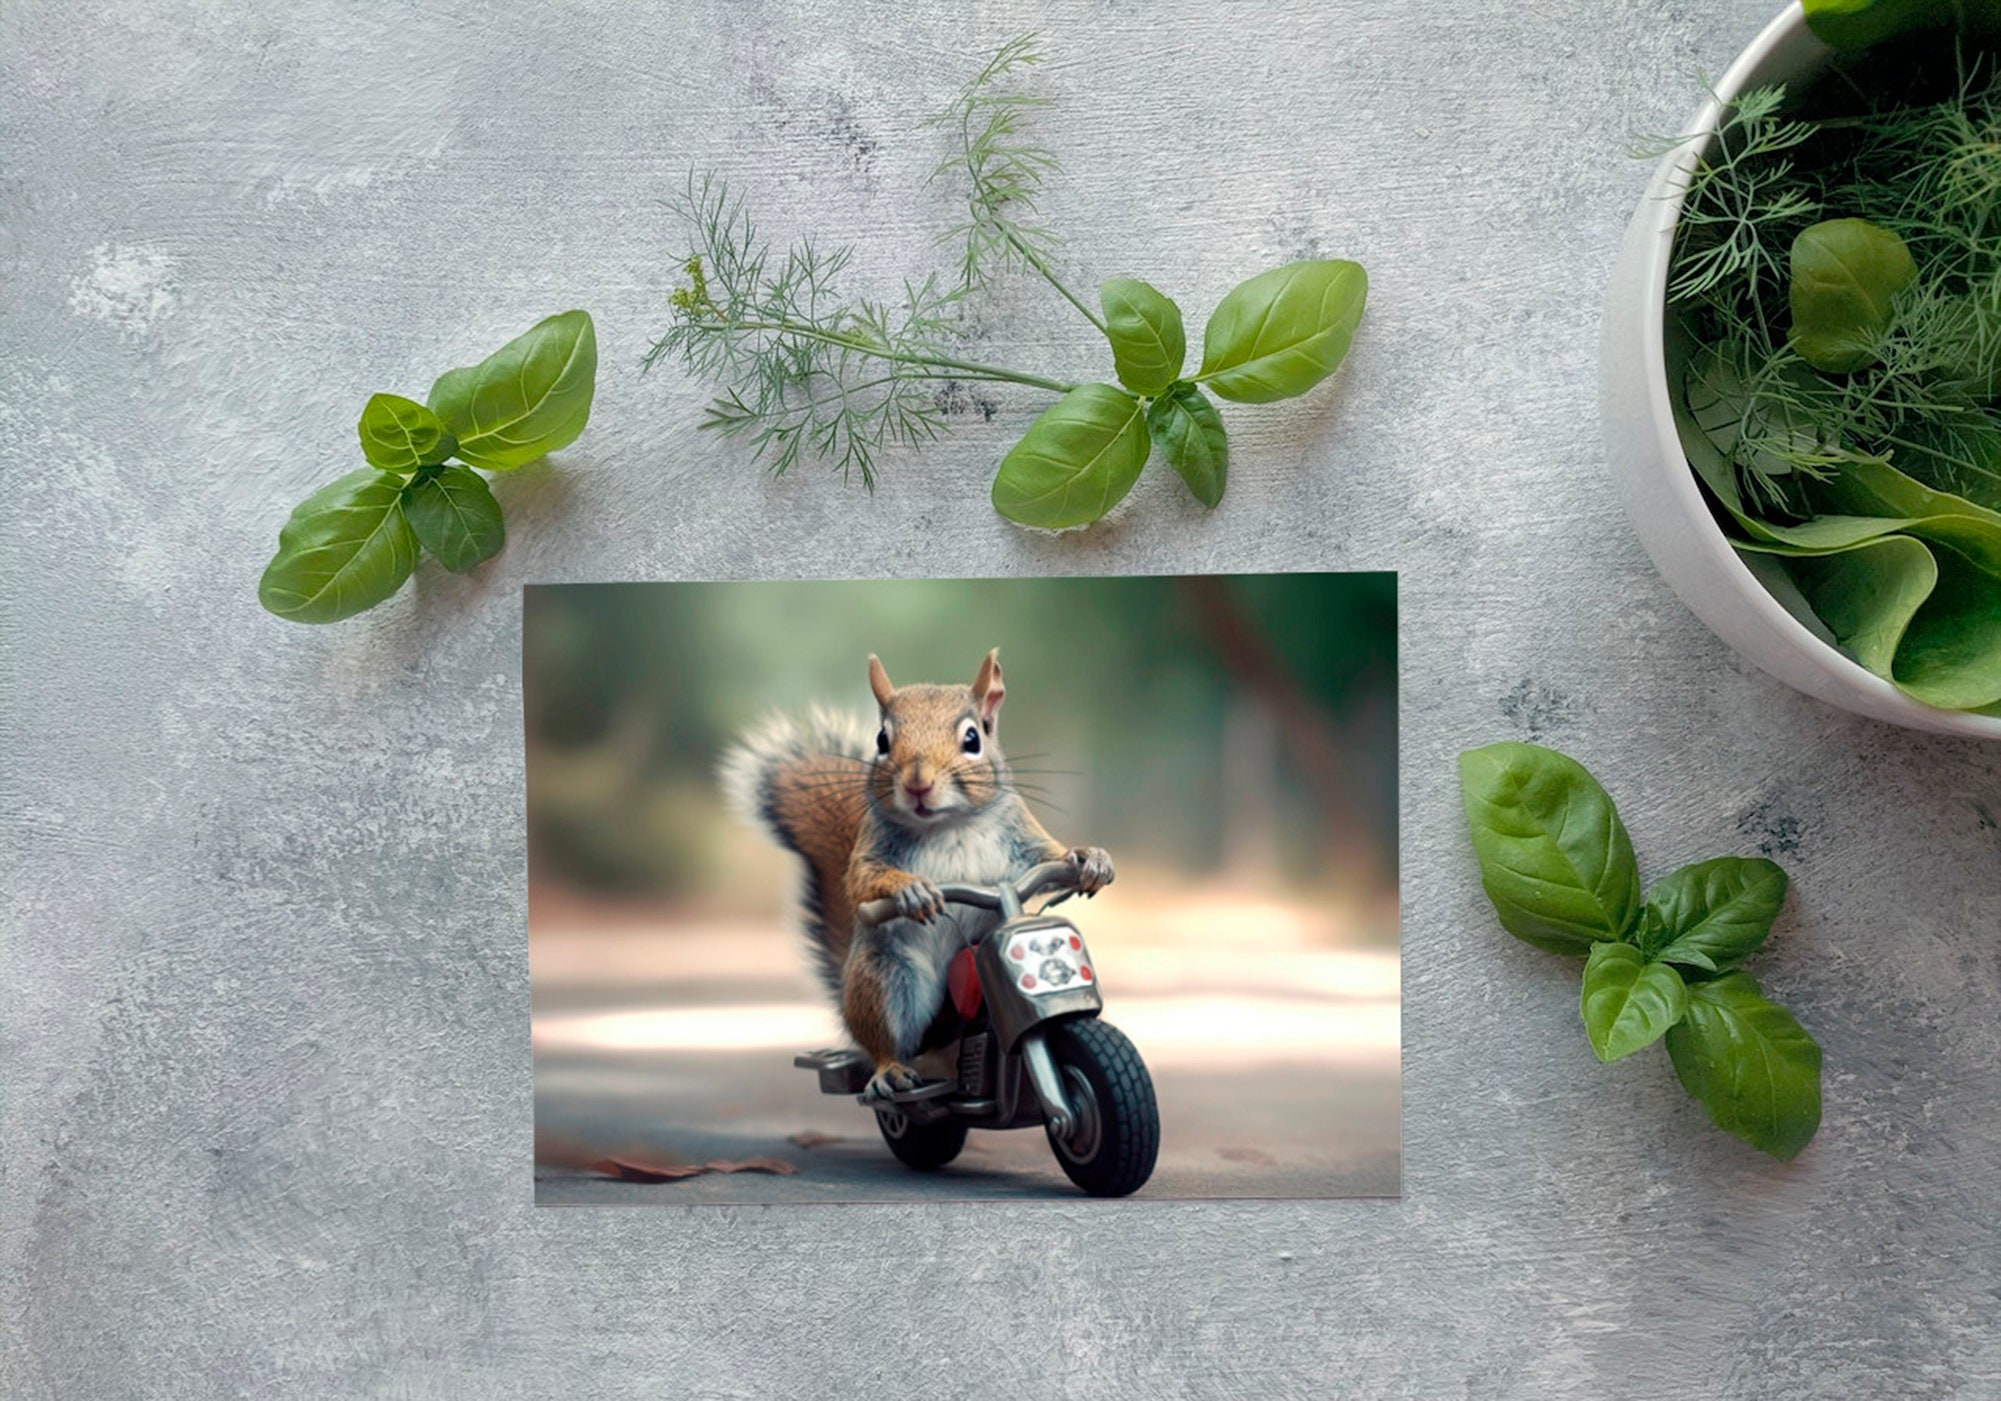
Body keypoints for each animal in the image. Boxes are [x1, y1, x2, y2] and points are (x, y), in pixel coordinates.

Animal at [722, 648, 1114, 1100]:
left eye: (972, 739)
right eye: (881, 740)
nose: (918, 783)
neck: (949, 824)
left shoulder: (1024, 842)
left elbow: (1049, 859)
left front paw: (1090, 860)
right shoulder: (872, 850)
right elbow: (859, 883)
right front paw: (910, 891)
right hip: (885, 979)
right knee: (887, 1043)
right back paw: (889, 1071)